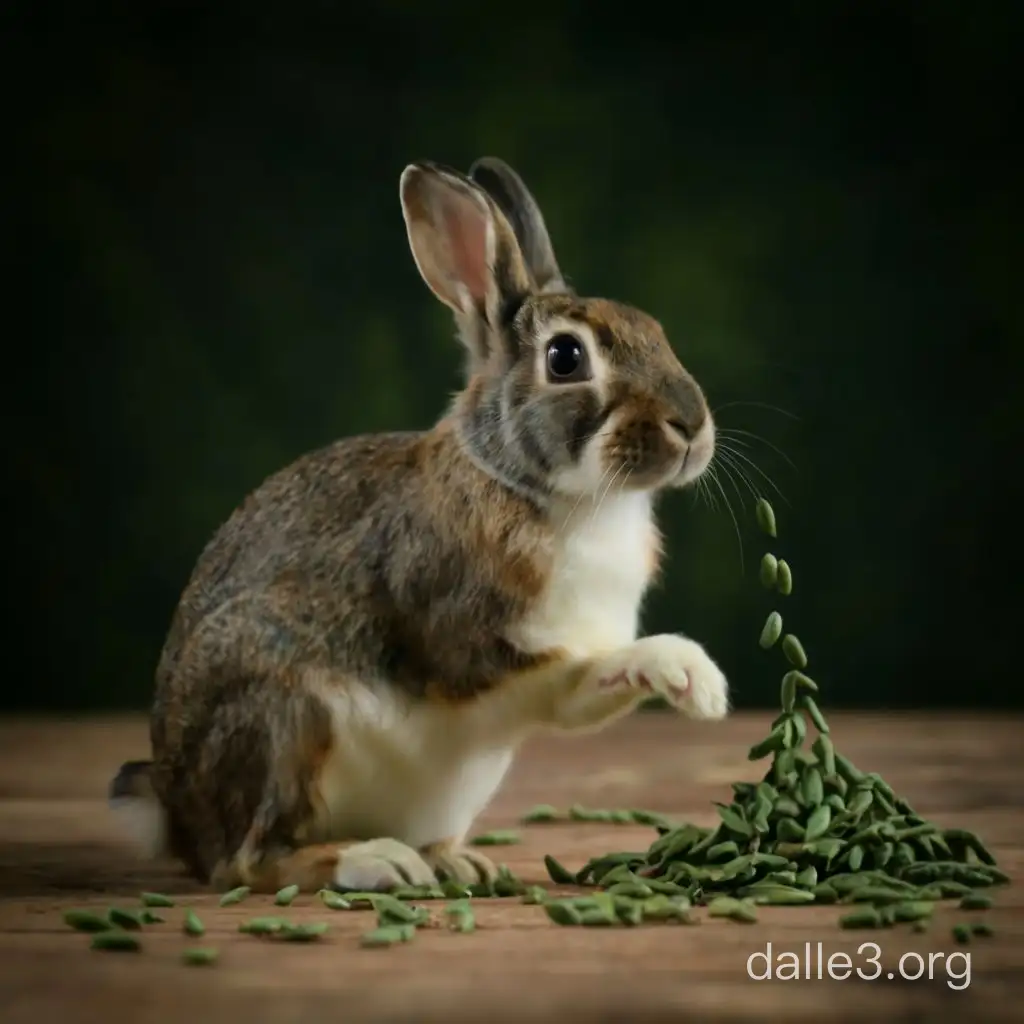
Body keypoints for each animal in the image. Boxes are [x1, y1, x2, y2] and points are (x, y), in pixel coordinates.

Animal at [108, 157, 730, 894]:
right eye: (566, 358)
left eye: (655, 329)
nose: (690, 424)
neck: (546, 491)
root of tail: (176, 816)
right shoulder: (464, 640)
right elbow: (550, 669)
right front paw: (691, 673)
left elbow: (580, 690)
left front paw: (694, 687)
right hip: (284, 719)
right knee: (247, 860)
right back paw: (374, 861)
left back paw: (457, 862)